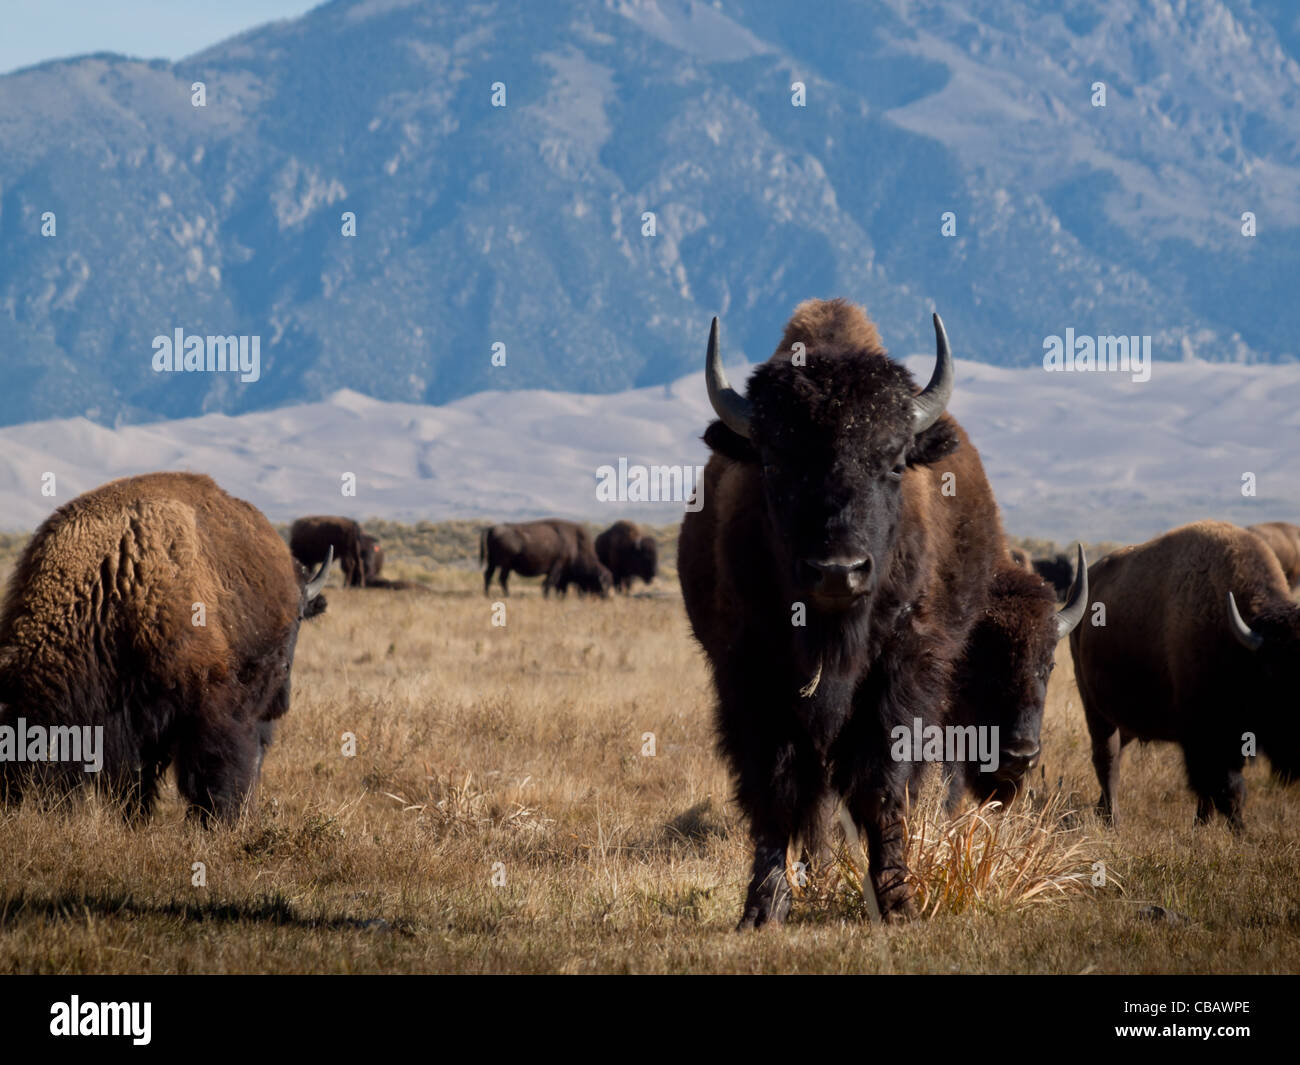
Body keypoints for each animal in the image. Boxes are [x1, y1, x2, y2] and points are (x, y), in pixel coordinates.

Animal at [480, 519, 612, 598]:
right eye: (603, 583)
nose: (605, 597)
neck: (576, 545)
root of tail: (492, 528)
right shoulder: (557, 566)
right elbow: (550, 582)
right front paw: (547, 597)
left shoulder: (561, 573)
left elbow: (556, 585)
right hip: (506, 565)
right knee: (502, 578)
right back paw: (507, 595)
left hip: (493, 563)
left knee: (488, 575)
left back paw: (487, 595)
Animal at [678, 300, 1005, 926]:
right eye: (775, 464)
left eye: (895, 464)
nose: (837, 570)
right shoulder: (750, 677)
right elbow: (775, 788)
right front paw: (762, 908)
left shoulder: (903, 674)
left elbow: (883, 784)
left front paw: (896, 901)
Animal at [1069, 520, 1300, 830]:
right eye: (1274, 674)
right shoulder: (1204, 736)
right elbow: (1225, 788)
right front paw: (1239, 831)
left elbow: (1214, 790)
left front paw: (1204, 824)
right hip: (1094, 706)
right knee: (1107, 757)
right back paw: (1112, 819)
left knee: (1117, 750)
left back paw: (1102, 811)